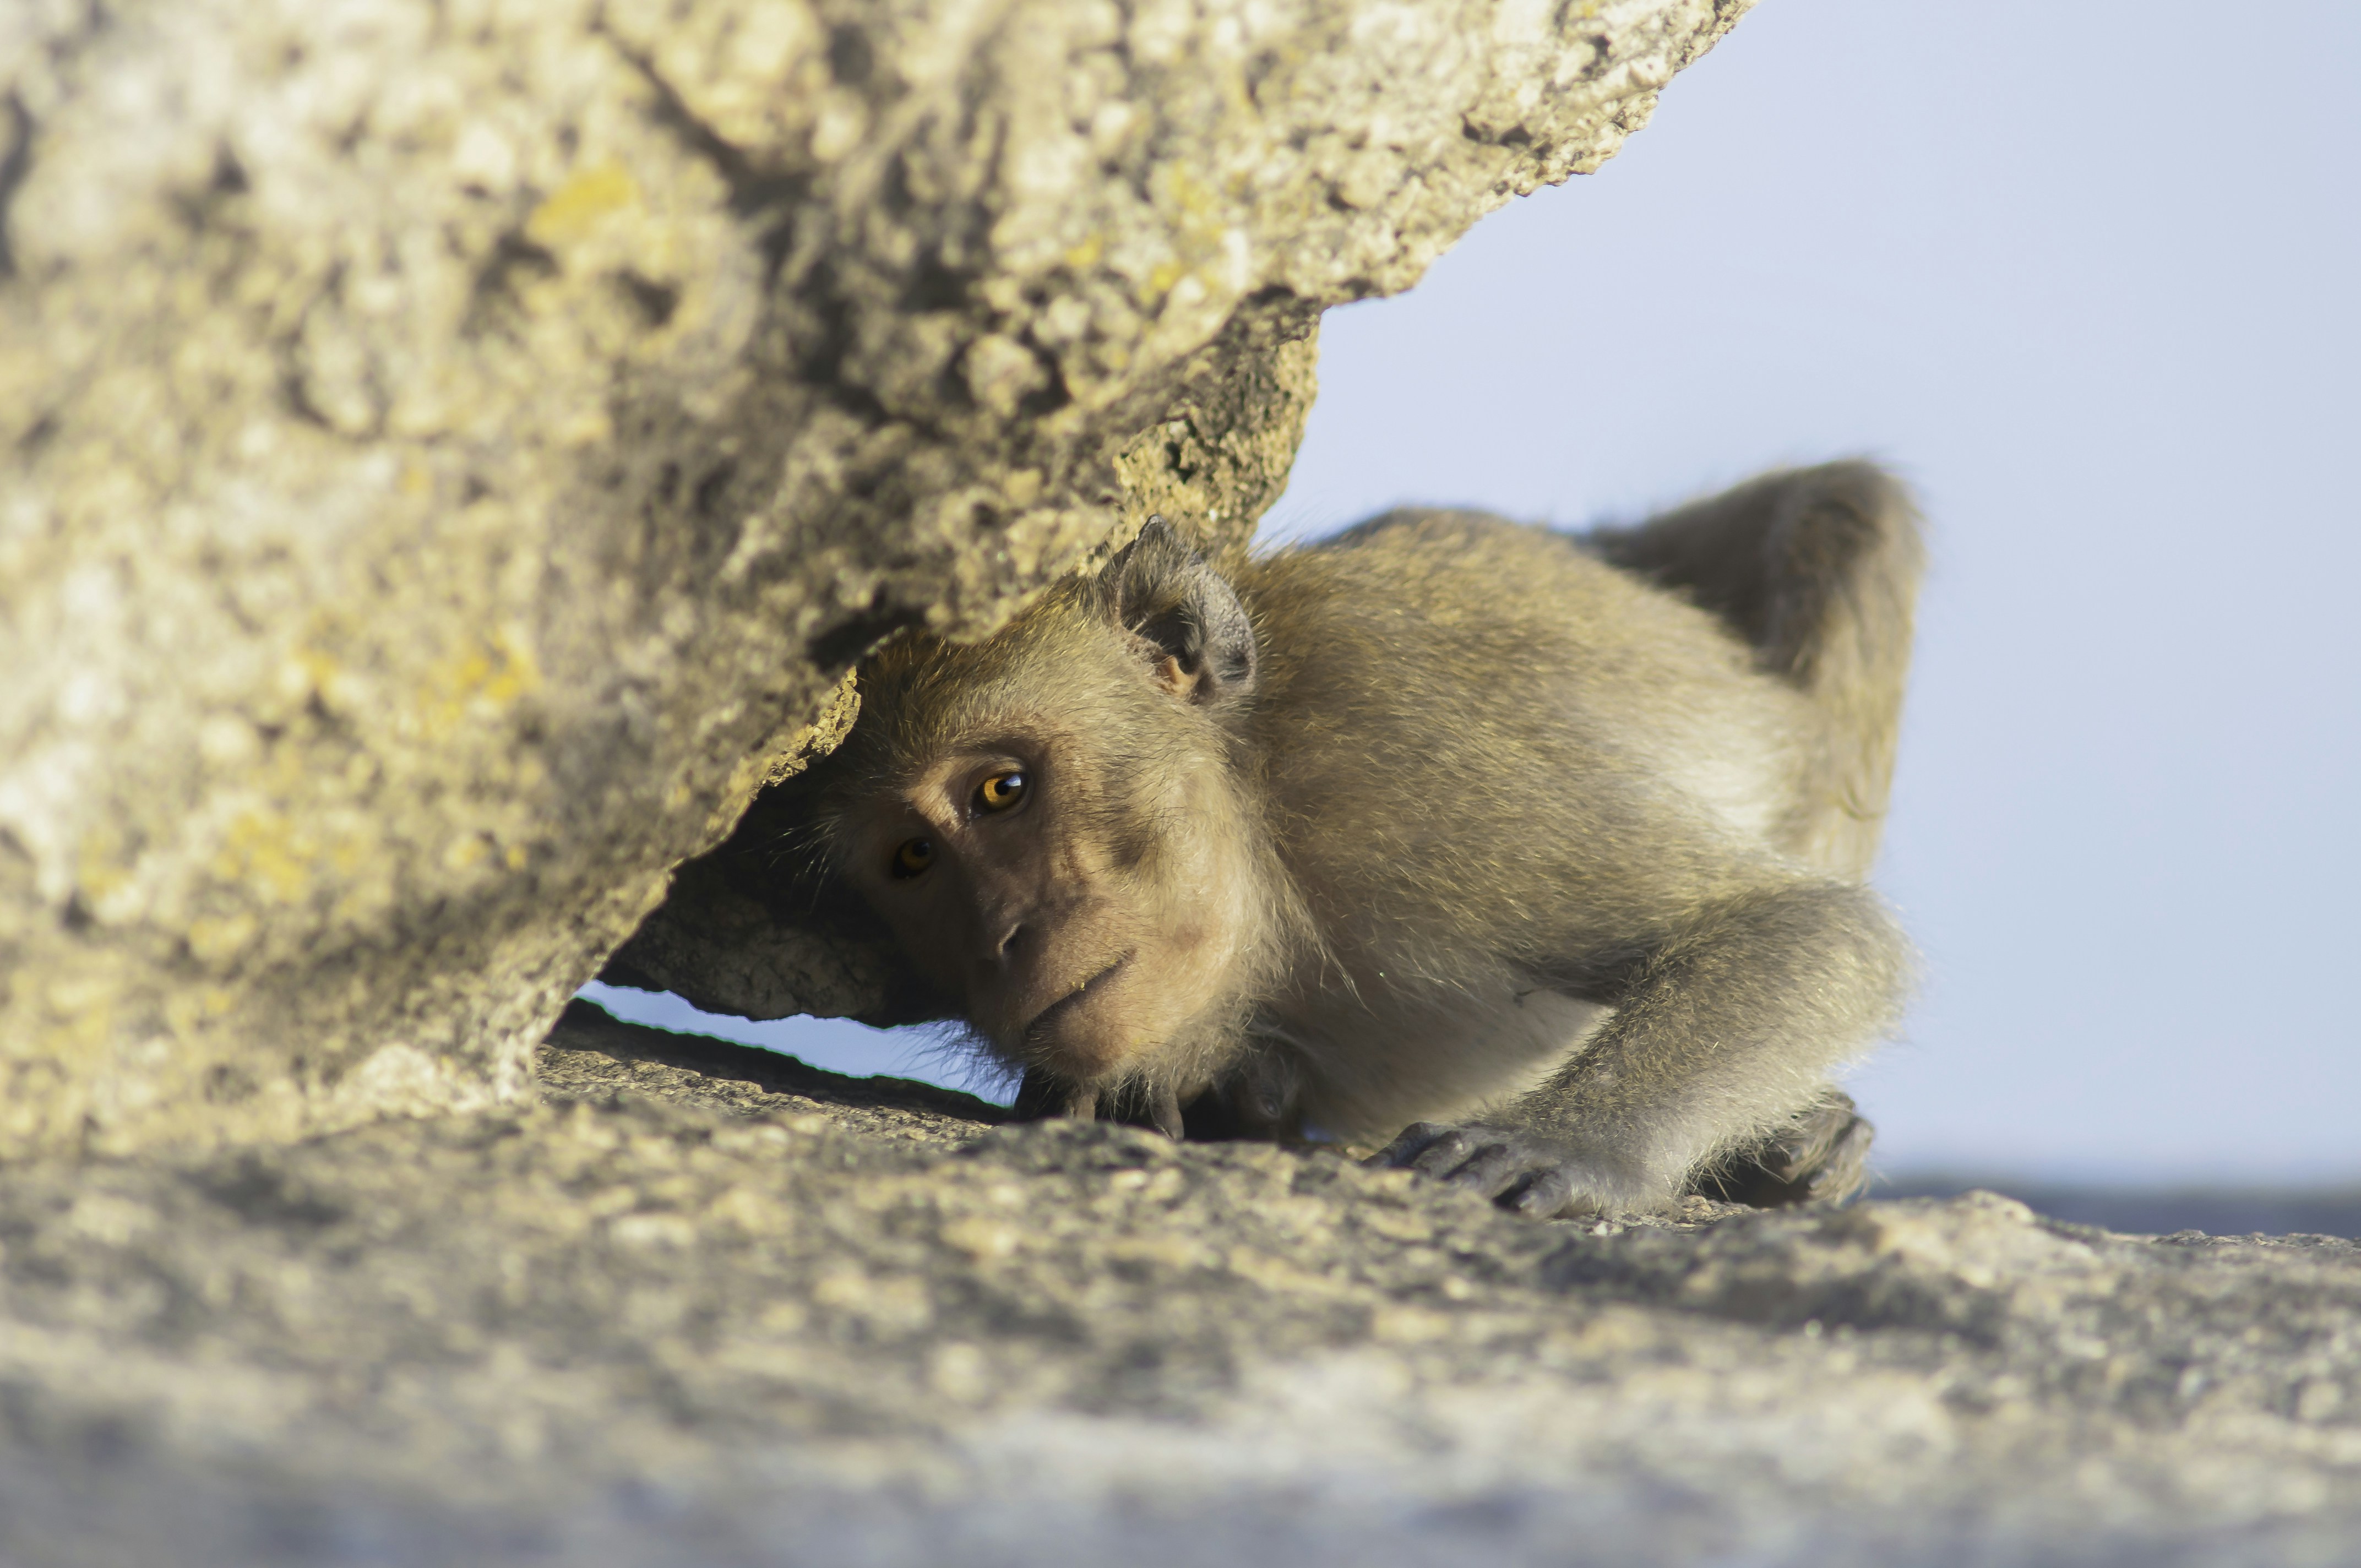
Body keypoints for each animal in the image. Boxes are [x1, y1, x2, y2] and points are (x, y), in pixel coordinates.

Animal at [804, 462, 1920, 1216]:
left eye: (1003, 790)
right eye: (913, 860)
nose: (1000, 939)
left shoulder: (1401, 779)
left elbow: (1787, 925)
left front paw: (1568, 1148)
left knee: (1853, 513)